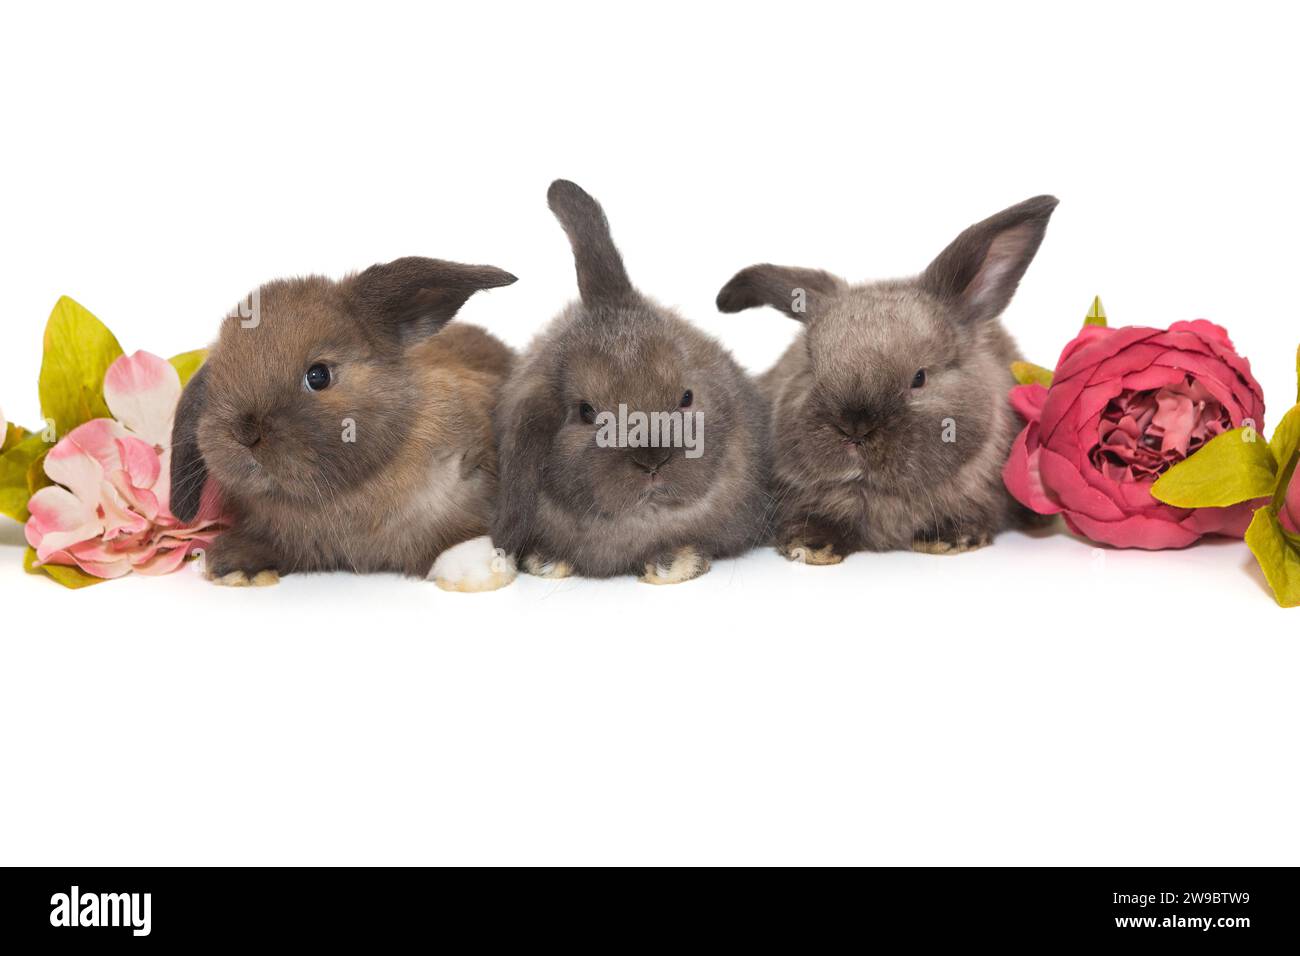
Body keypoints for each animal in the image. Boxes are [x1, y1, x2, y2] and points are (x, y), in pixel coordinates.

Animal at [169, 256, 521, 591]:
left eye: (318, 375)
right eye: (216, 380)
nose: (244, 433)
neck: (344, 490)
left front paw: (478, 571)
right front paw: (236, 564)